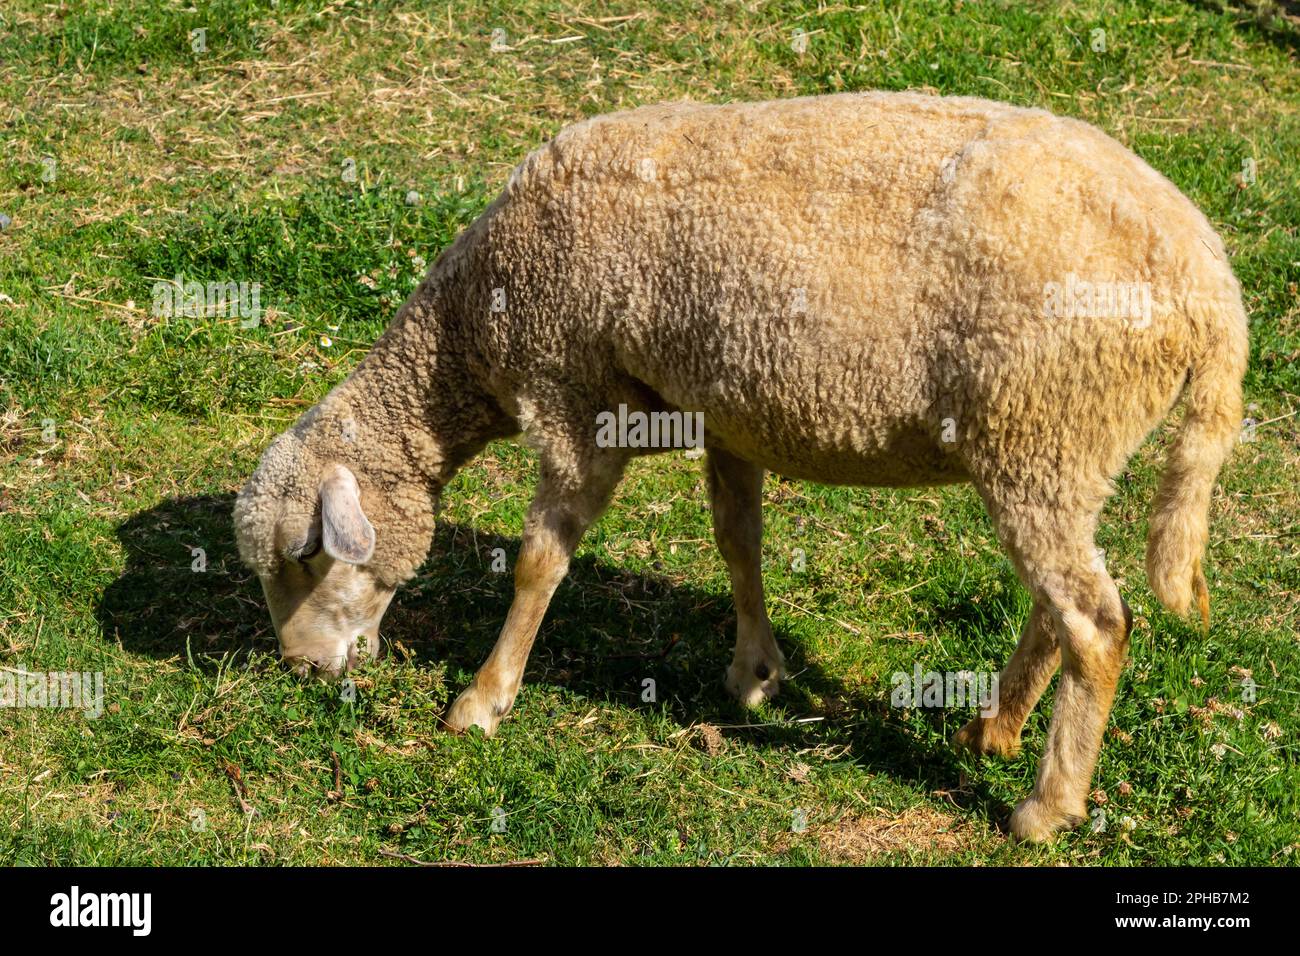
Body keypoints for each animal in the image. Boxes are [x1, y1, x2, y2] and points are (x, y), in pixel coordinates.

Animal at [234, 91, 1248, 842]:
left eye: (305, 558)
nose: (301, 668)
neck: (472, 331)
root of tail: (1213, 292)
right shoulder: (724, 411)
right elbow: (737, 541)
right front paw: (756, 673)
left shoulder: (574, 393)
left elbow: (539, 563)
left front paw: (482, 701)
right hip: (1059, 453)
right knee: (1063, 602)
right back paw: (995, 730)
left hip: (1044, 430)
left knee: (1098, 625)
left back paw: (1045, 807)